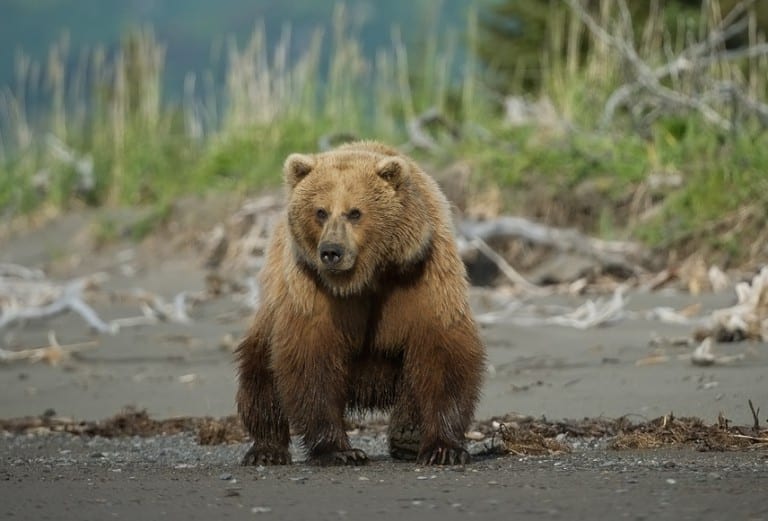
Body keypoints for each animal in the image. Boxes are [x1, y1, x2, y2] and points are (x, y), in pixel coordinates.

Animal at [235, 140, 485, 466]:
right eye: (320, 211)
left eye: (354, 213)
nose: (331, 251)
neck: (369, 276)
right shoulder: (315, 285)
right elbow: (312, 356)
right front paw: (340, 450)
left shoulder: (422, 274)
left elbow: (441, 348)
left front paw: (444, 449)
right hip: (275, 293)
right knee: (260, 368)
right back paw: (266, 449)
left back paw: (408, 435)